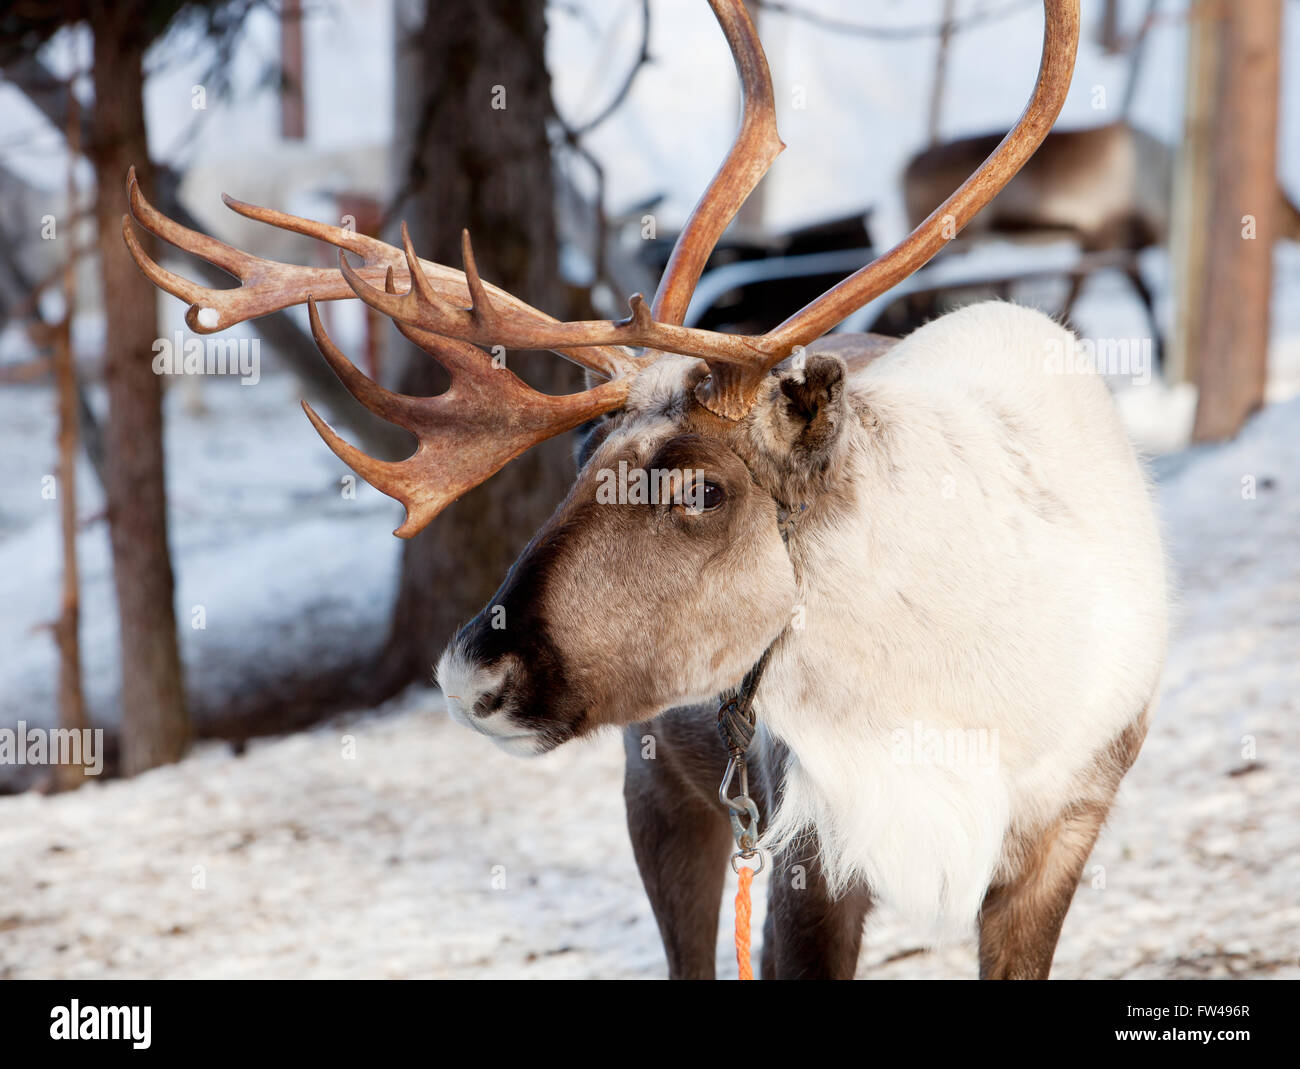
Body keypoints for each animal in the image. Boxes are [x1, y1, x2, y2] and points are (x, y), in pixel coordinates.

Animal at [123, 0, 1167, 979]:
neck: (952, 684)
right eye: (584, 450)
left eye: (701, 491)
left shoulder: (1062, 830)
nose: (472, 675)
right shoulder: (804, 847)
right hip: (660, 784)